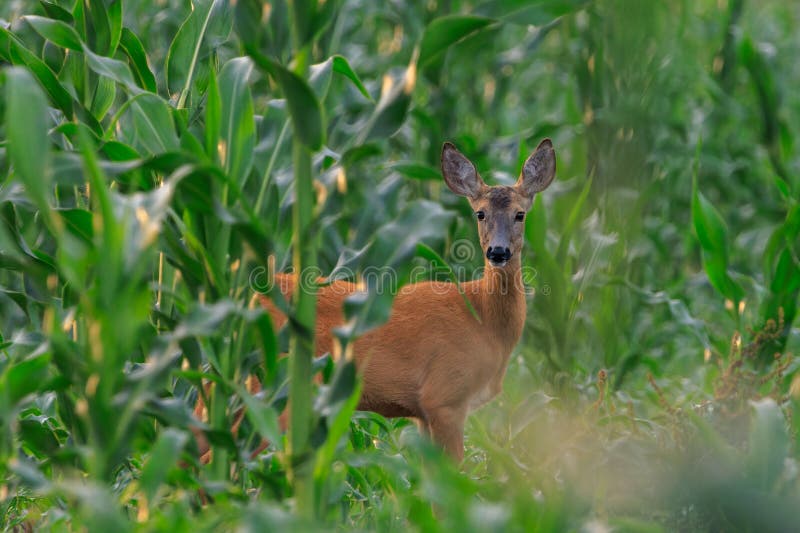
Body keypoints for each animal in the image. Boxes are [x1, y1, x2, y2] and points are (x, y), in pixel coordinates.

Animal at [193, 139, 556, 463]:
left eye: (520, 214)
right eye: (480, 214)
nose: (498, 251)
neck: (483, 319)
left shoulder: (421, 412)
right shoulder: (444, 396)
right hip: (271, 392)